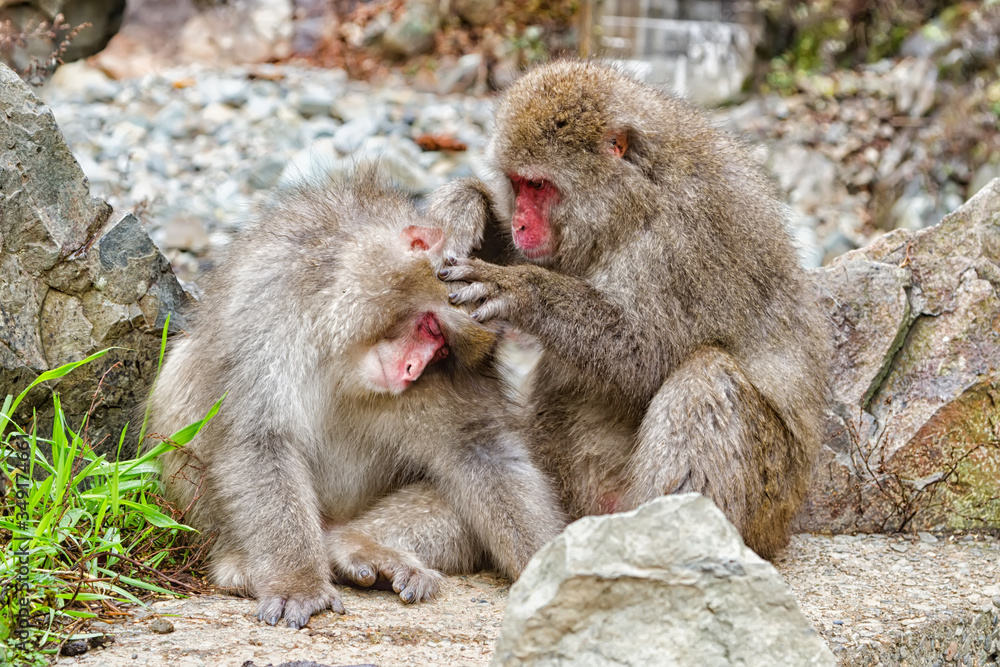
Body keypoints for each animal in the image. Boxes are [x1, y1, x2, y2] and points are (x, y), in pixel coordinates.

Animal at [144, 171, 567, 629]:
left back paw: (356, 547)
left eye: (443, 352)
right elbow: (259, 437)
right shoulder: (269, 305)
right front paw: (298, 583)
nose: (413, 370)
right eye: (431, 327)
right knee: (183, 373)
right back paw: (240, 563)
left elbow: (483, 452)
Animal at [434, 60, 830, 560]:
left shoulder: (682, 240)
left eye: (538, 186)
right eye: (516, 184)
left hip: (770, 500)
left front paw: (520, 289)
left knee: (705, 378)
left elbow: (646, 355)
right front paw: (466, 204)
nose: (522, 223)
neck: (636, 197)